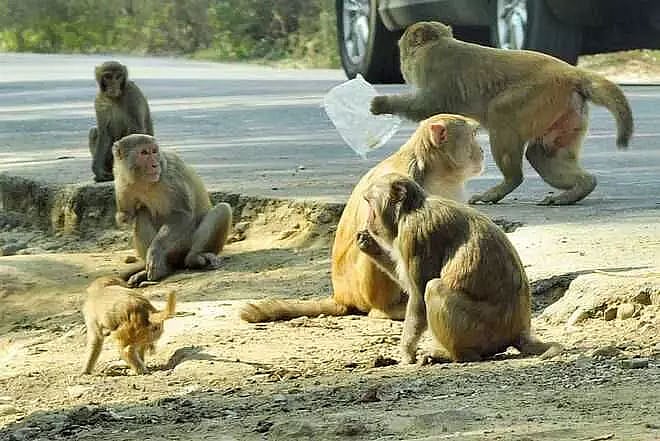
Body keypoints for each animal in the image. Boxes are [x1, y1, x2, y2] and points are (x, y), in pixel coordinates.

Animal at [113, 134, 233, 287]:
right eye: (144, 153)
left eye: (154, 151)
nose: (155, 165)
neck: (144, 182)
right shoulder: (122, 183)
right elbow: (128, 215)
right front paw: (125, 217)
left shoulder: (171, 176)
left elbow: (182, 214)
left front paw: (155, 251)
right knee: (143, 214)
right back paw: (159, 270)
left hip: (182, 245)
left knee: (223, 209)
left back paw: (195, 258)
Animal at [240, 113, 484, 323]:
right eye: (473, 135)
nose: (481, 151)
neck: (434, 171)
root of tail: (341, 296)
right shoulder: (399, 180)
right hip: (362, 289)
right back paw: (386, 310)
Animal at [356, 173, 561, 363]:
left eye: (369, 203)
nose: (368, 220)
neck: (410, 210)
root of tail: (518, 331)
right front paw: (370, 246)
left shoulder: (415, 235)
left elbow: (418, 298)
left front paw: (407, 353)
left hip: (481, 330)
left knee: (433, 288)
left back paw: (456, 355)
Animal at [370, 21, 634, 205]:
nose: (401, 57)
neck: (435, 44)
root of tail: (571, 73)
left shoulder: (433, 67)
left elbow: (428, 105)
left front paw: (381, 104)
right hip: (566, 109)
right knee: (541, 153)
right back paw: (580, 188)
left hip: (538, 95)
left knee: (500, 114)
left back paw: (508, 182)